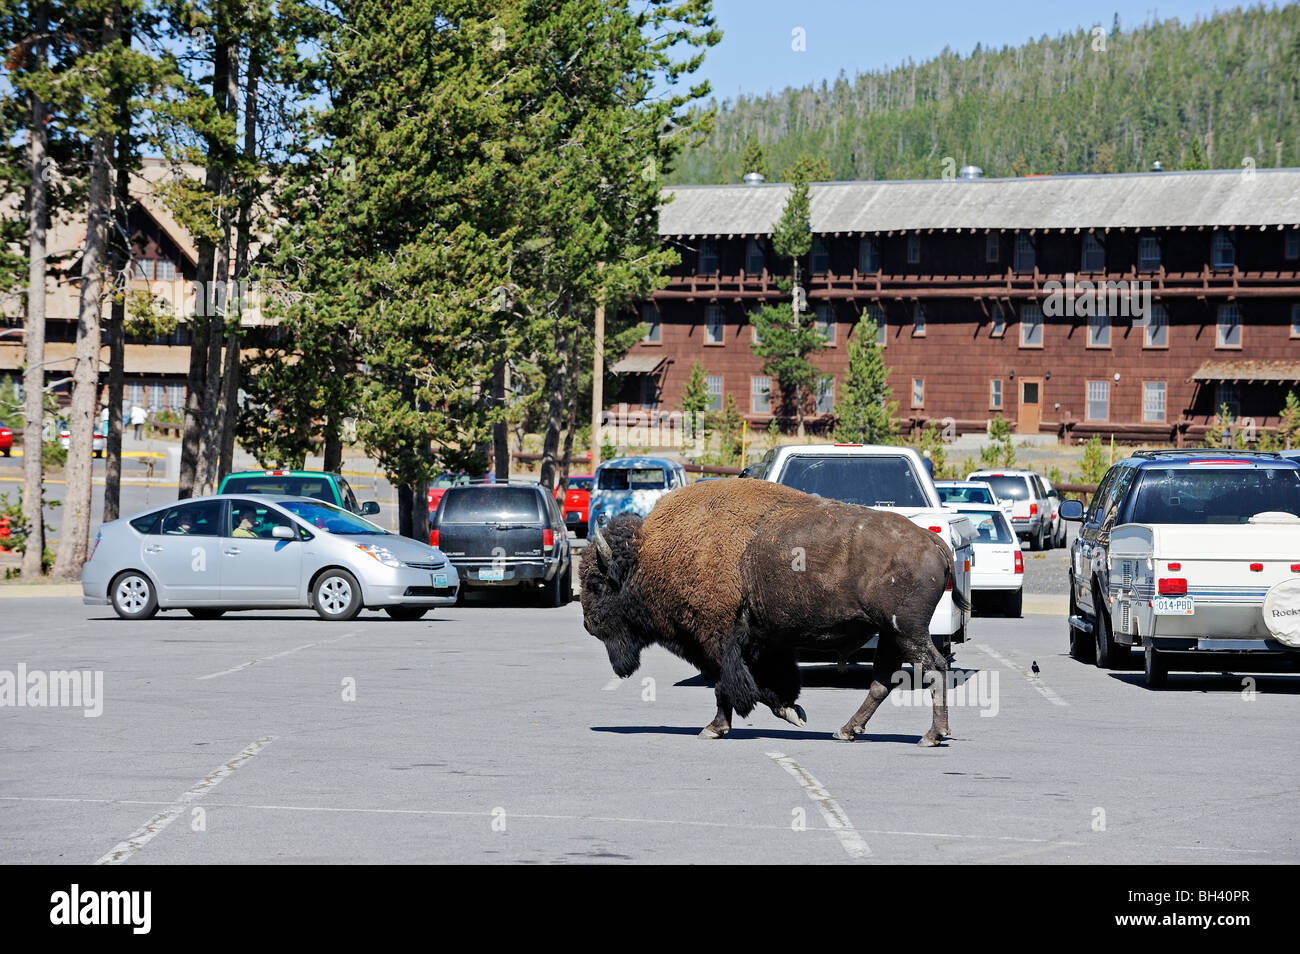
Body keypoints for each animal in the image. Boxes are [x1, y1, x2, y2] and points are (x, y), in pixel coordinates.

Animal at [581, 478, 968, 745]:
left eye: (597, 584)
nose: (587, 624)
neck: (650, 555)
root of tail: (934, 541)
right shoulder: (760, 641)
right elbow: (763, 682)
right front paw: (792, 712)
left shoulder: (717, 640)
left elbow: (727, 684)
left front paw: (714, 728)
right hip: (891, 634)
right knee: (882, 681)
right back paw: (846, 730)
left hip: (907, 631)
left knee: (933, 667)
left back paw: (932, 735)